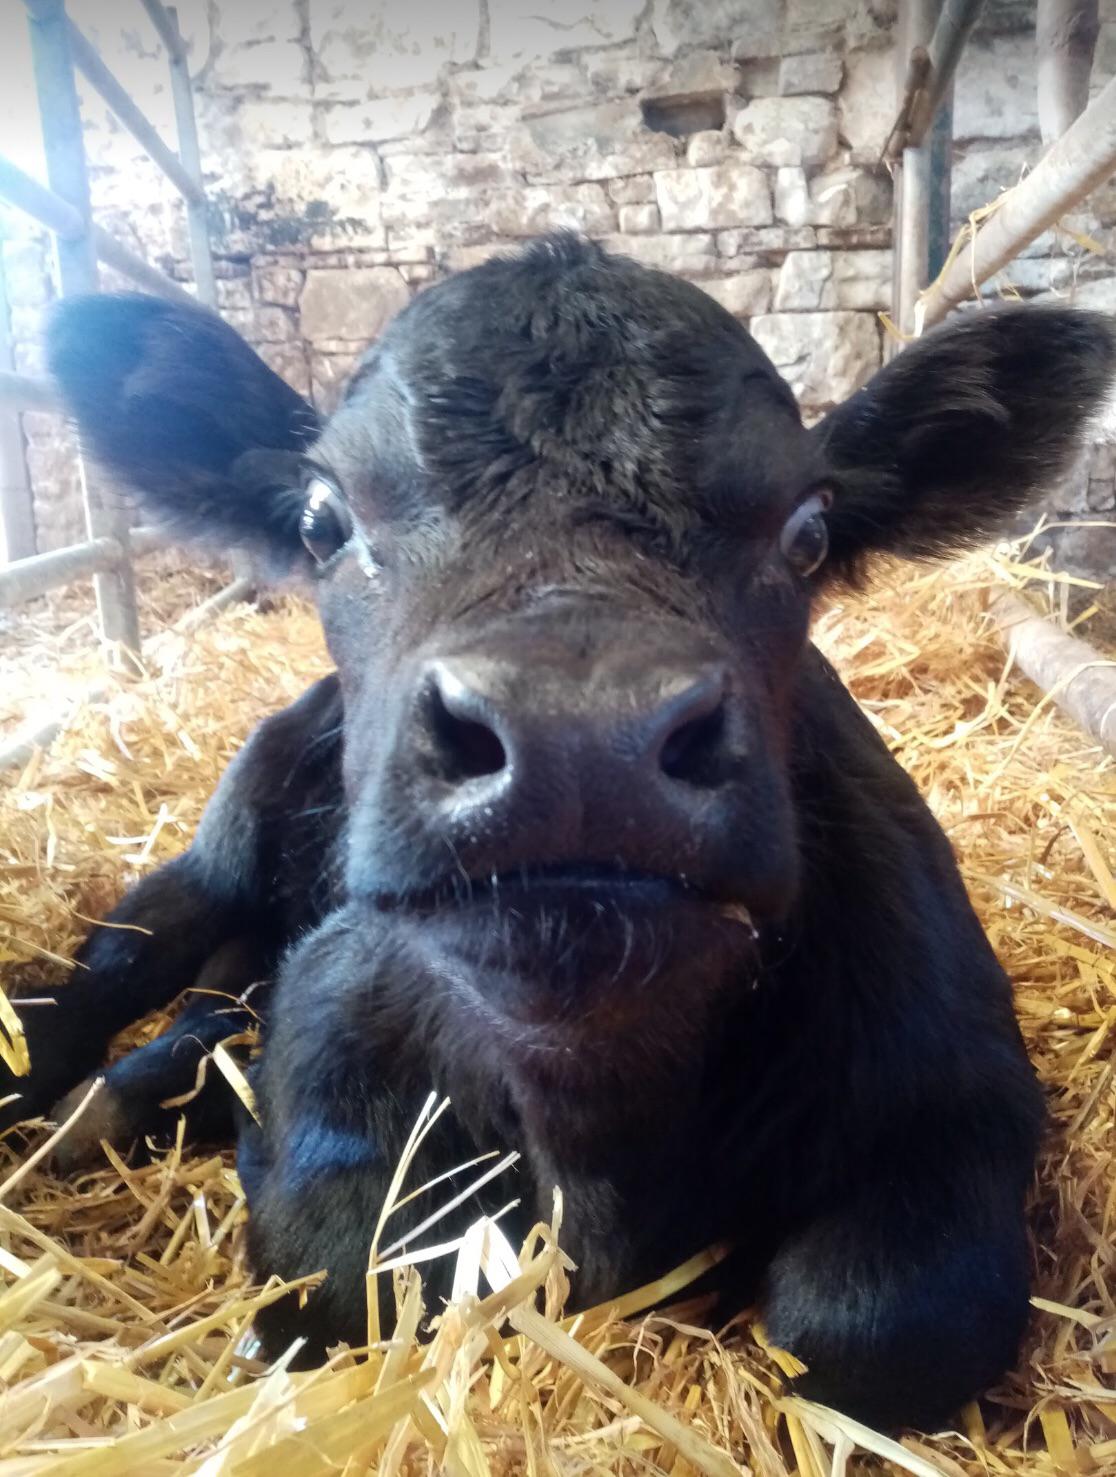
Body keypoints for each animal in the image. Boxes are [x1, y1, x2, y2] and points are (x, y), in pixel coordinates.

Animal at [3, 235, 1112, 1431]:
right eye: (322, 523)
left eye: (808, 529)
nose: (581, 738)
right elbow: (341, 1273)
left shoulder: (963, 1100)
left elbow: (872, 1329)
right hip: (225, 839)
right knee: (119, 956)